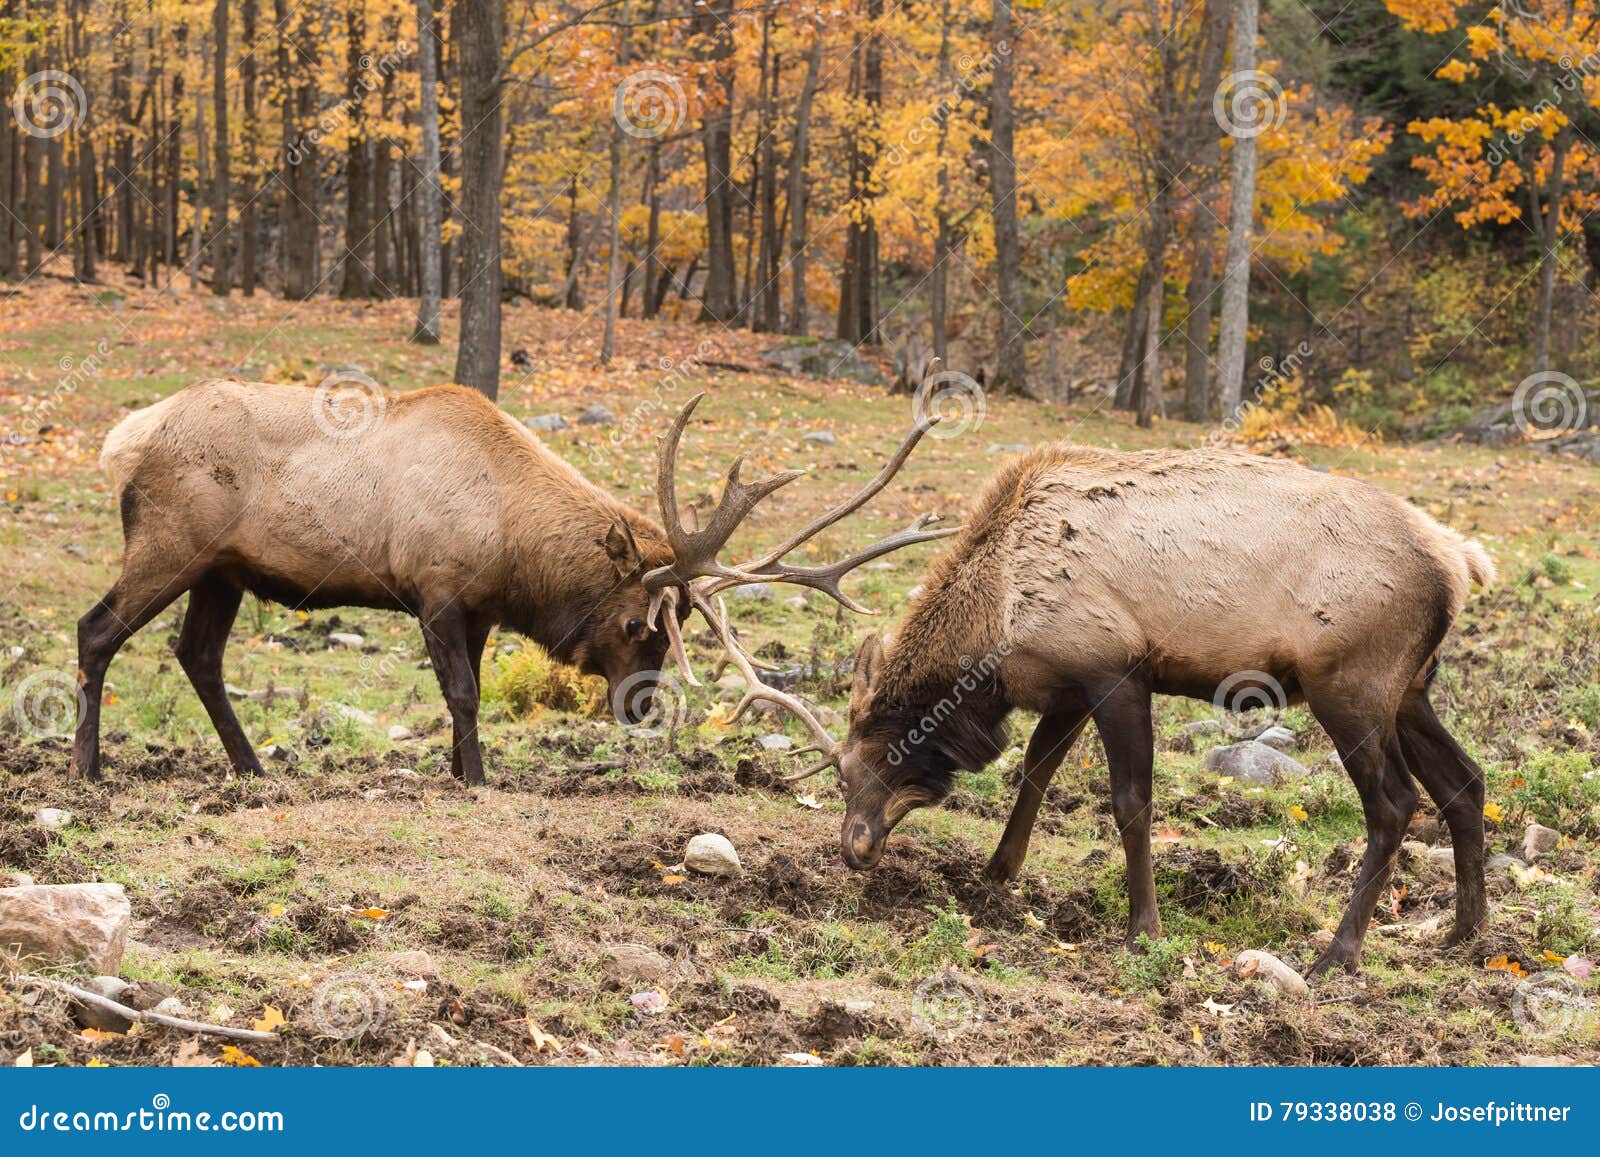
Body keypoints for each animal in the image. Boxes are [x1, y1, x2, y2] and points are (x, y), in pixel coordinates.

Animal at [77, 380, 954, 786]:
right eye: (637, 624)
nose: (639, 707)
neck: (510, 540)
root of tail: (125, 438)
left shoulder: (479, 610)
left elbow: (458, 696)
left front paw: (458, 770)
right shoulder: (434, 587)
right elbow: (463, 694)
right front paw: (480, 777)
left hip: (223, 571)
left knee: (198, 656)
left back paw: (253, 767)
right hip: (171, 544)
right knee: (96, 629)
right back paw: (88, 768)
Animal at [707, 444, 1497, 980]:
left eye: (849, 764)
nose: (855, 847)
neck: (999, 620)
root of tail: (1461, 563)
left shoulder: (1115, 668)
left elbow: (1130, 801)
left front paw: (1143, 927)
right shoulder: (1065, 683)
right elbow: (1034, 769)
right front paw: (995, 874)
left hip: (1349, 683)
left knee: (1395, 802)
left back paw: (1338, 951)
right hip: (1411, 687)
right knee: (1466, 780)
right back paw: (1463, 932)